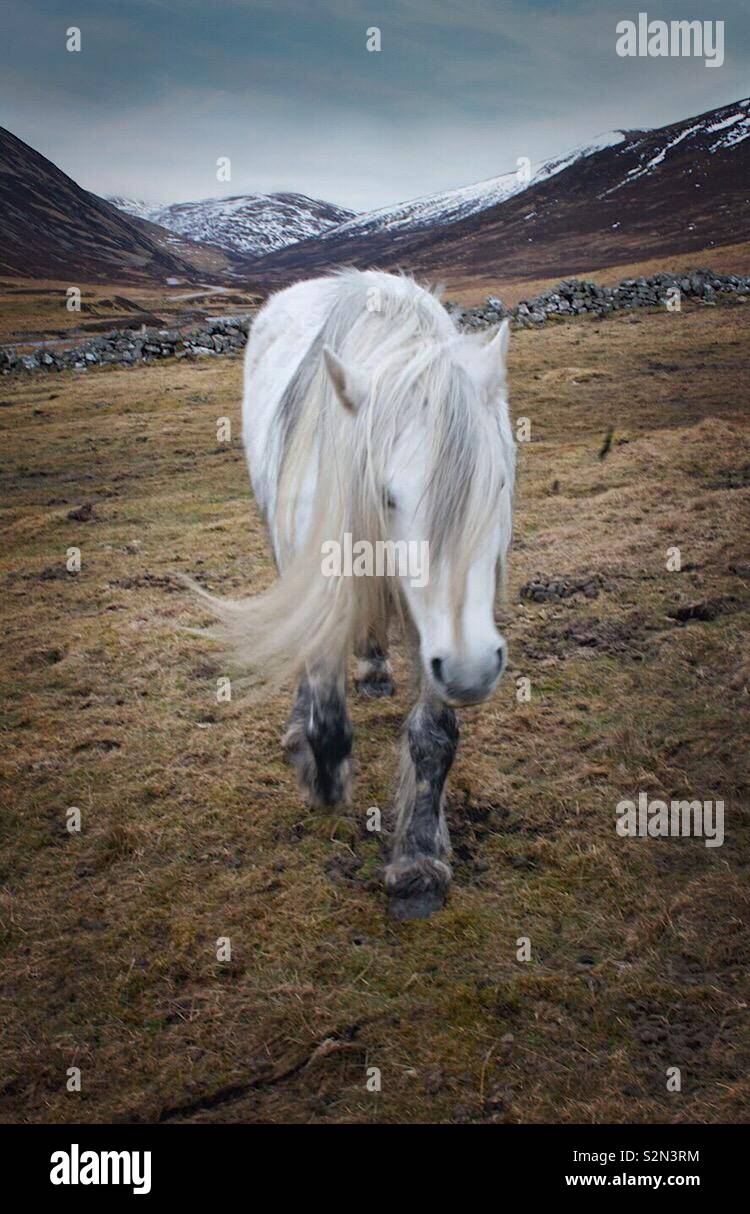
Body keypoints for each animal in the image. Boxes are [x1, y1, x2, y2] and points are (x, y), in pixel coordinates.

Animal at [187, 269, 515, 920]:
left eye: (496, 482)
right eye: (388, 495)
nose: (472, 672)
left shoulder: (439, 636)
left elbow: (434, 737)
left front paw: (419, 861)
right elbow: (327, 709)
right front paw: (323, 779)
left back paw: (375, 670)